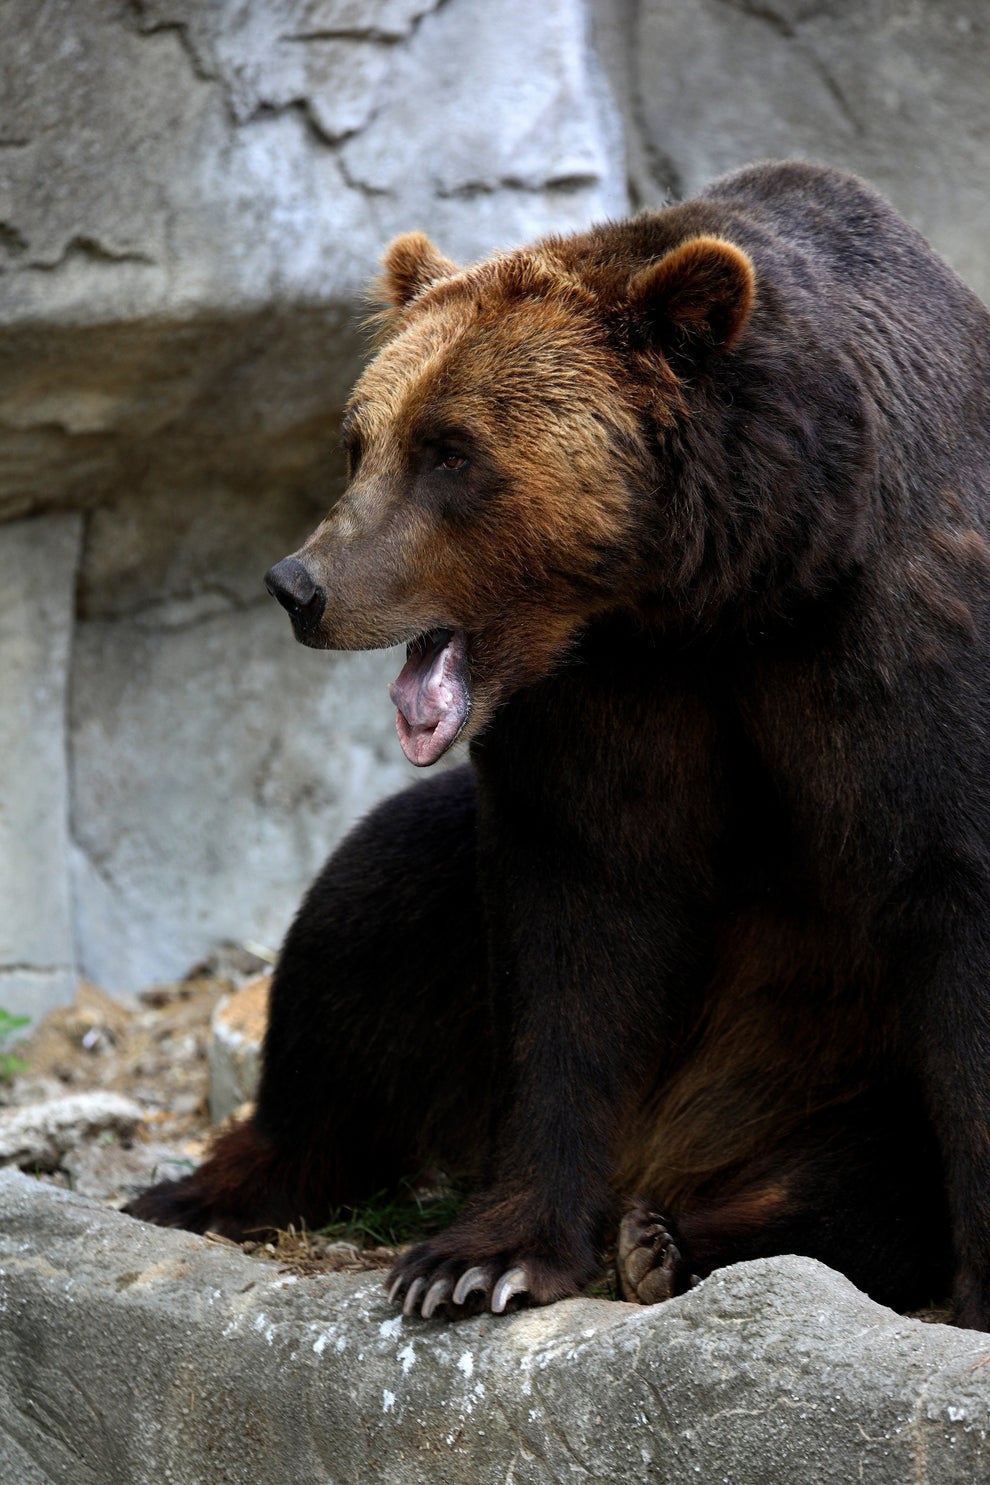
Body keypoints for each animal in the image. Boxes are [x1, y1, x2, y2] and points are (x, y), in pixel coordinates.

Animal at [130, 161, 990, 1329]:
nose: (299, 585)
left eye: (450, 451)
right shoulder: (601, 693)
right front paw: (478, 1260)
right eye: (361, 441)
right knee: (363, 914)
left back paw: (674, 1238)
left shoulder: (899, 635)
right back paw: (203, 1188)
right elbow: (578, 911)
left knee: (877, 1171)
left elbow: (951, 890)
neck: (722, 591)